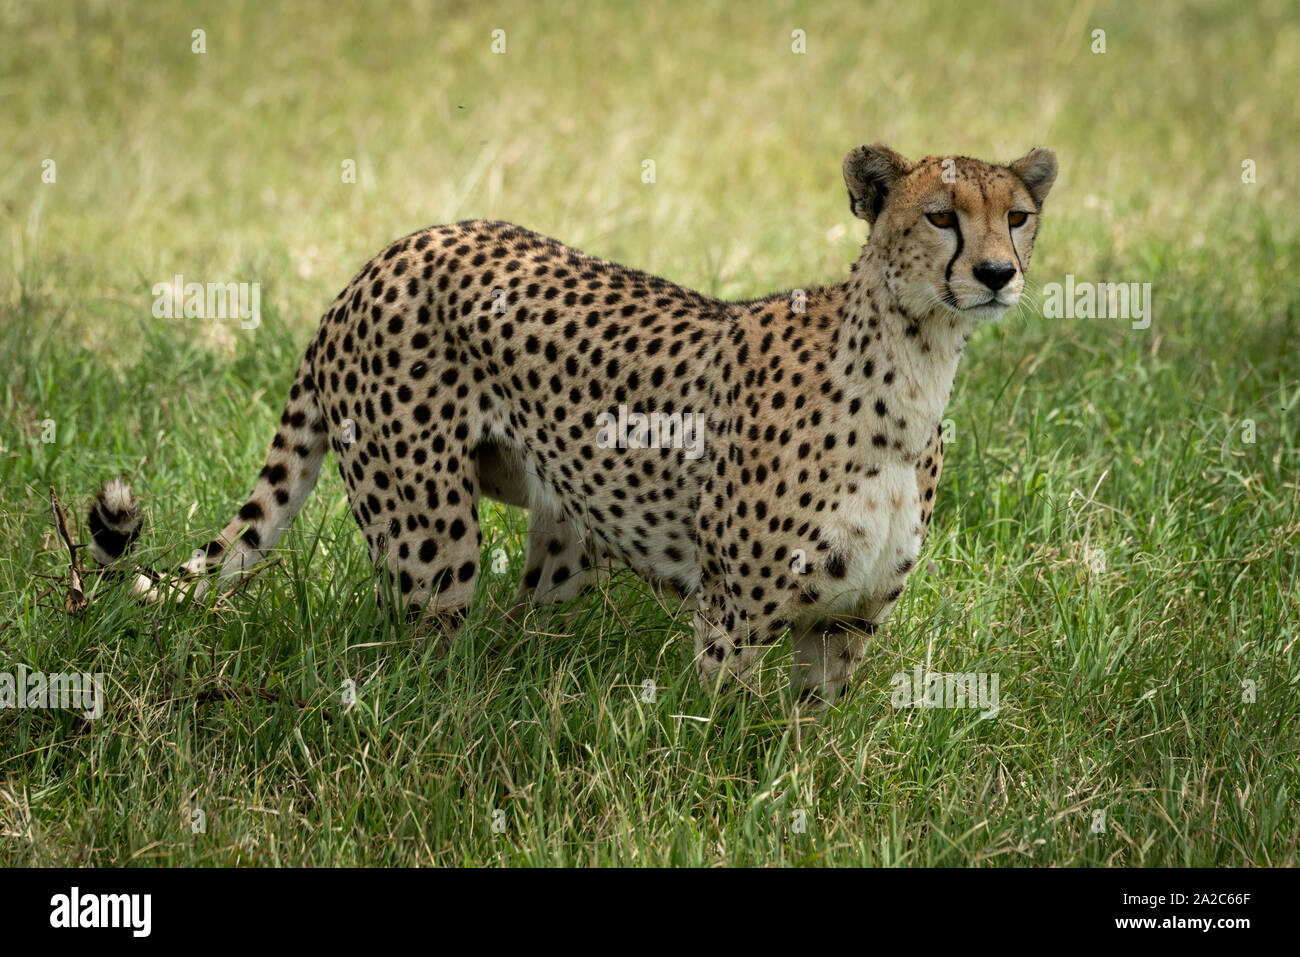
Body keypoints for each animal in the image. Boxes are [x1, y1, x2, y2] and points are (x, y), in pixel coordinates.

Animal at [89, 143, 1058, 712]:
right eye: (941, 216)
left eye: (1016, 215)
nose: (997, 273)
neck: (914, 368)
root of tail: (389, 253)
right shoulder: (734, 620)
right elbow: (725, 741)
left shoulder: (844, 624)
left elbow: (804, 740)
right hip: (430, 539)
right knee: (420, 657)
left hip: (565, 540)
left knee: (523, 618)